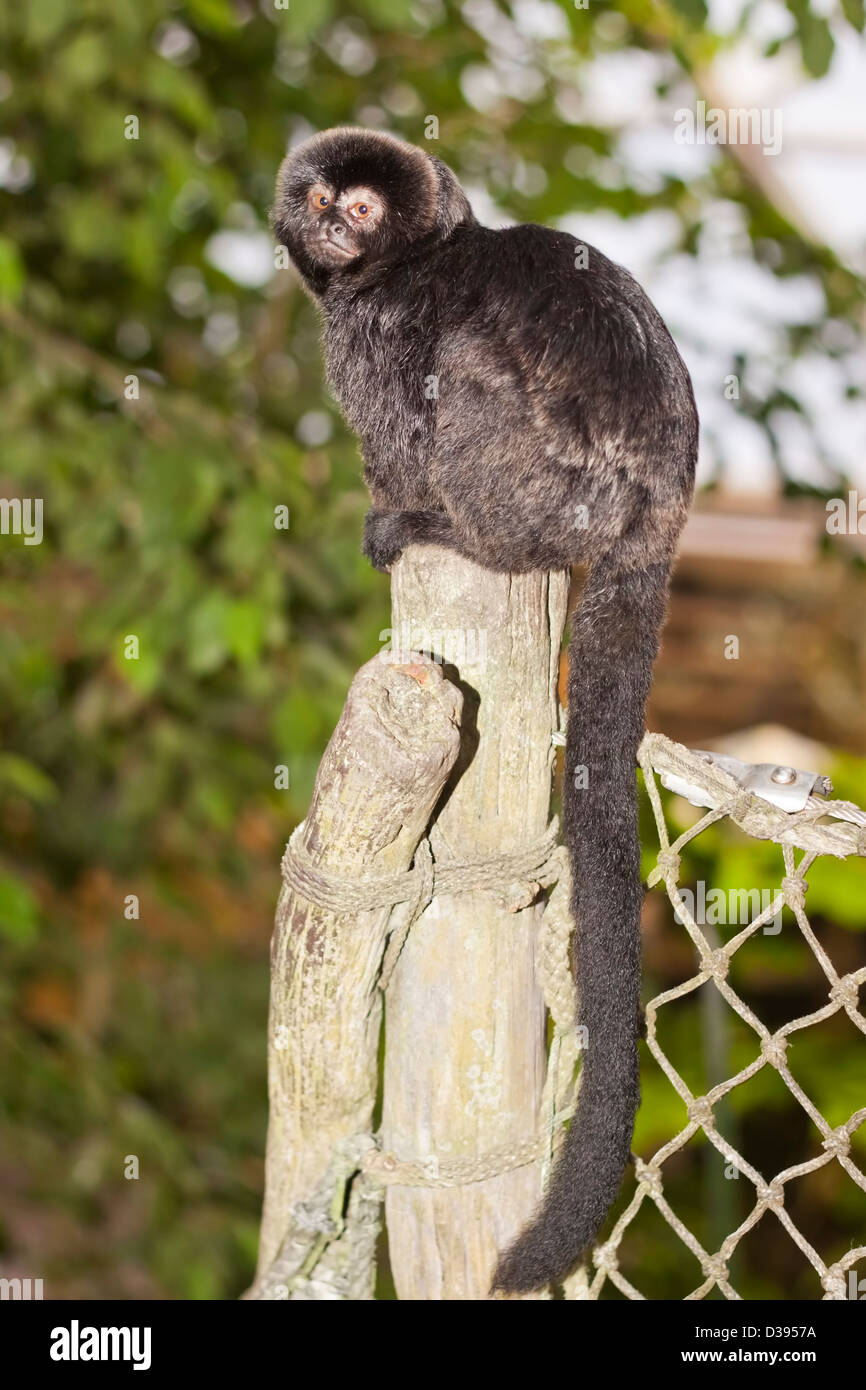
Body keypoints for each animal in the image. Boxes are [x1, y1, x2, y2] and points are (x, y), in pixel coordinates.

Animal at [272, 127, 698, 1294]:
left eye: (362, 208)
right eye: (317, 198)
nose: (331, 222)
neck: (403, 267)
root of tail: (656, 507)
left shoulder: (382, 340)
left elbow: (402, 430)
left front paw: (399, 511)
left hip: (549, 485)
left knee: (461, 378)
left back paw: (455, 534)